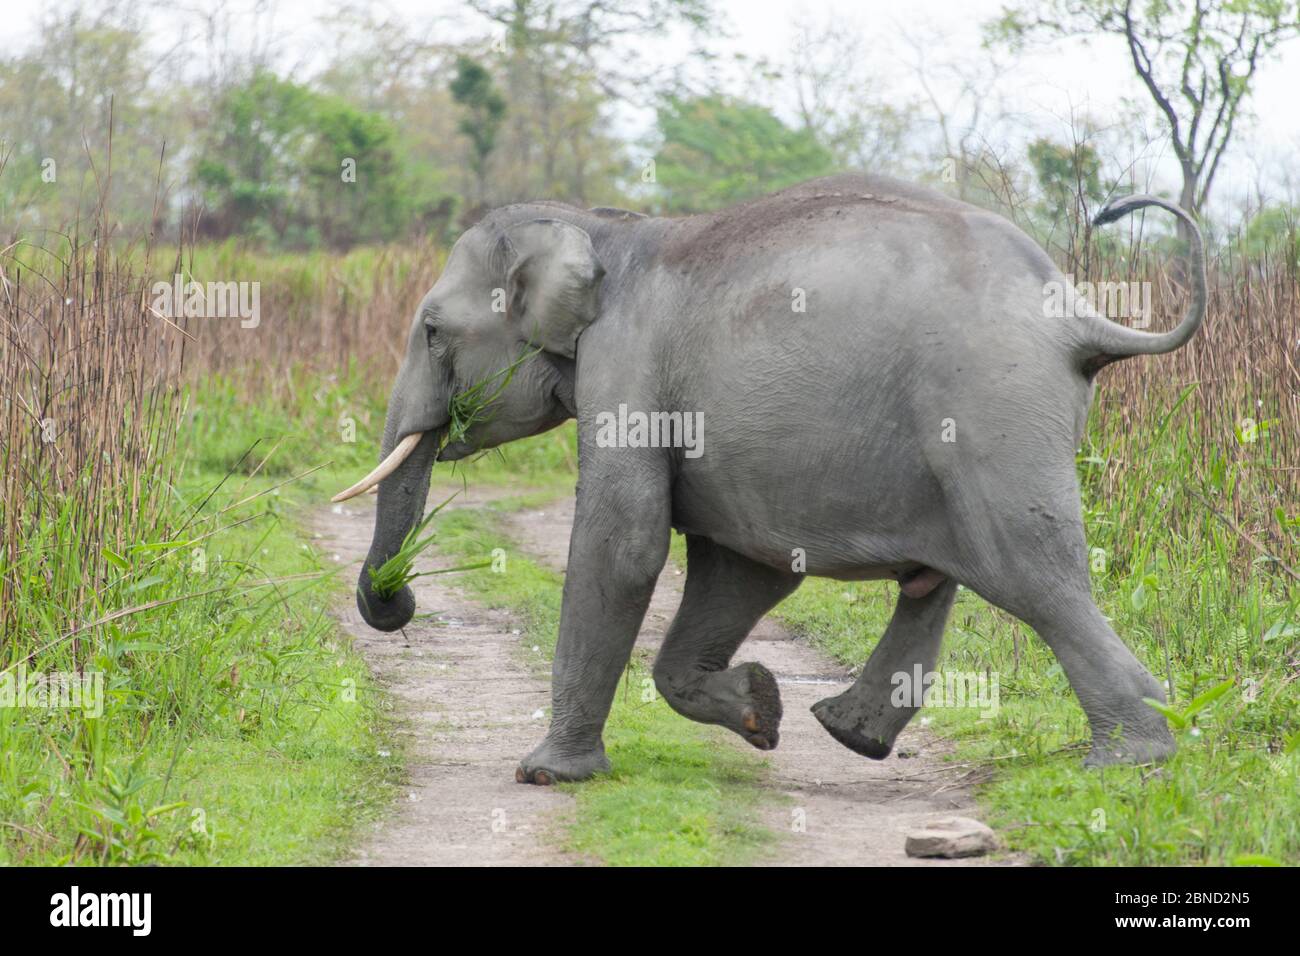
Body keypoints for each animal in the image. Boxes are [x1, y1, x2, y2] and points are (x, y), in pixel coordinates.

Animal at [333, 174, 1204, 785]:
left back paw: (1134, 757)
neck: (601, 225)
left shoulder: (629, 362)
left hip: (994, 408)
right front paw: (761, 711)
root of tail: (1076, 316)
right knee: (944, 573)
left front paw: (545, 774)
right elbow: (741, 569)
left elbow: (624, 543)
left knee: (1029, 571)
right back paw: (850, 733)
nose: (400, 602)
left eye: (432, 332)